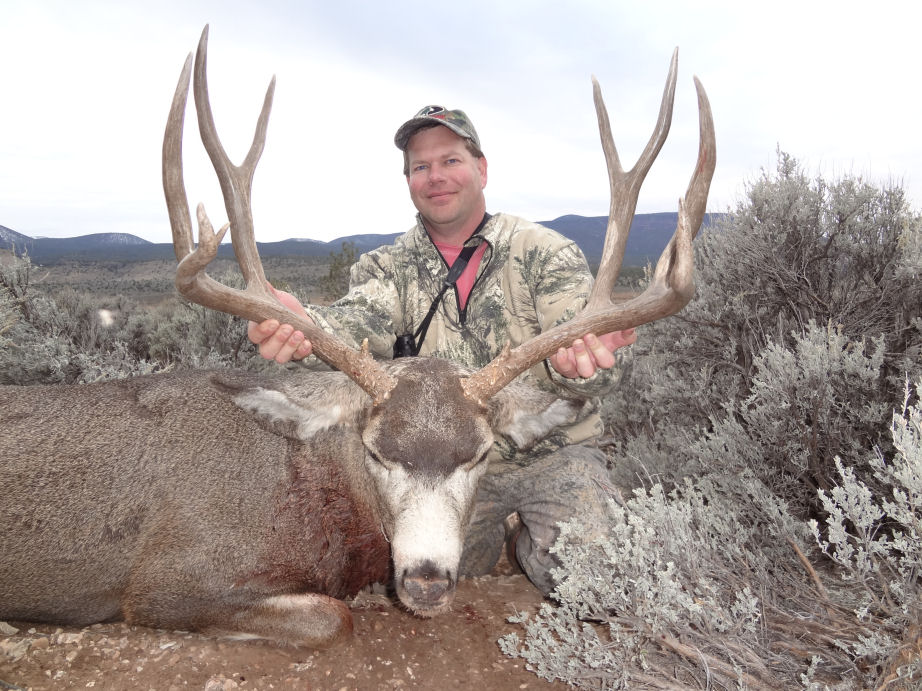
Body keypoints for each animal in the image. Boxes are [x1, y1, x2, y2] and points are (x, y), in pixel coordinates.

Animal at [0, 26, 714, 648]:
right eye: (376, 451)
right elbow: (331, 617)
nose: (426, 582)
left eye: (481, 454)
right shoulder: (164, 582)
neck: (311, 493)